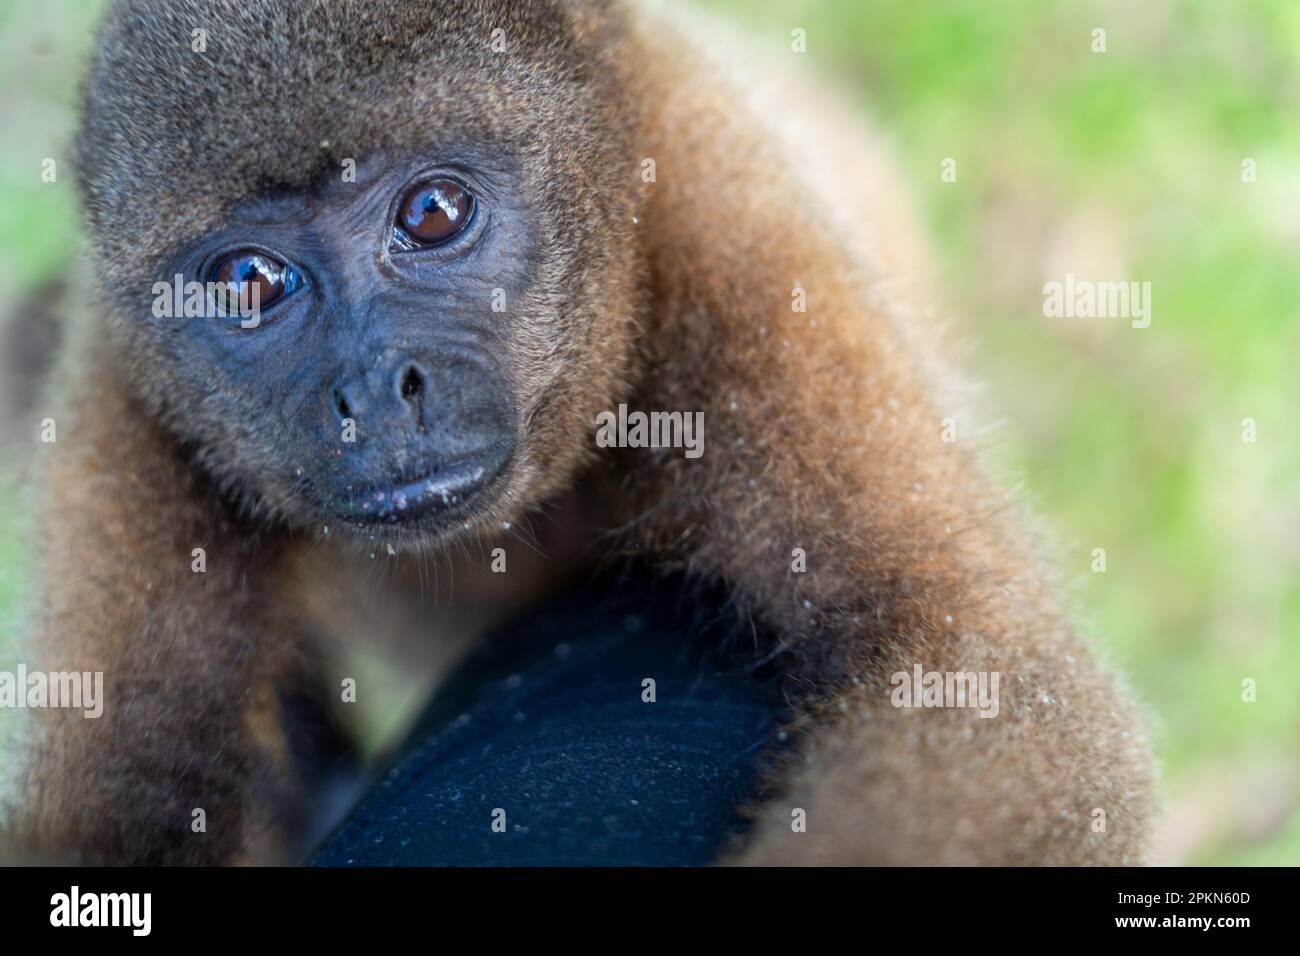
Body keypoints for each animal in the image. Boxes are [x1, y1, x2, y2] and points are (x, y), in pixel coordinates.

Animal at [0, 0, 1153, 865]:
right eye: (250, 281)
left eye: (431, 214)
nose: (376, 391)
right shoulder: (119, 396)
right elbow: (127, 803)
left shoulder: (725, 219)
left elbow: (981, 668)